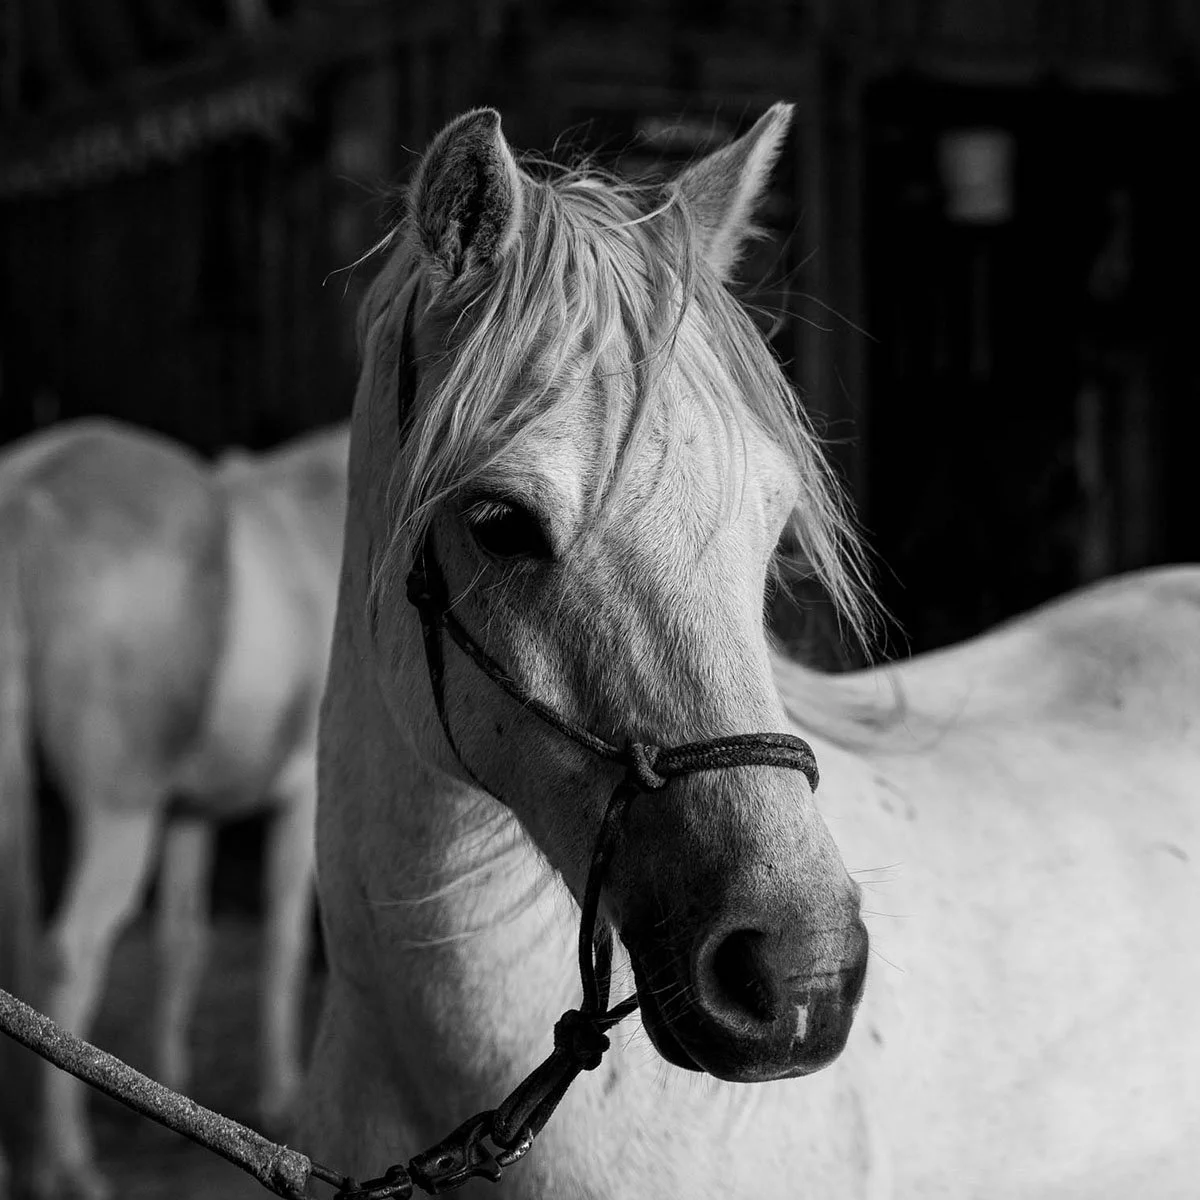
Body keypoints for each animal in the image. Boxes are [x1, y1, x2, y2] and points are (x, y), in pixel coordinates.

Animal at [0, 417, 349, 1200]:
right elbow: (285, 943)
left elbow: (181, 942)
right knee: (71, 953)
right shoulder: (301, 803)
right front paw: (280, 1093)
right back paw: (71, 1165)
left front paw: (171, 1090)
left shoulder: (190, 814)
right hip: (121, 816)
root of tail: (28, 493)